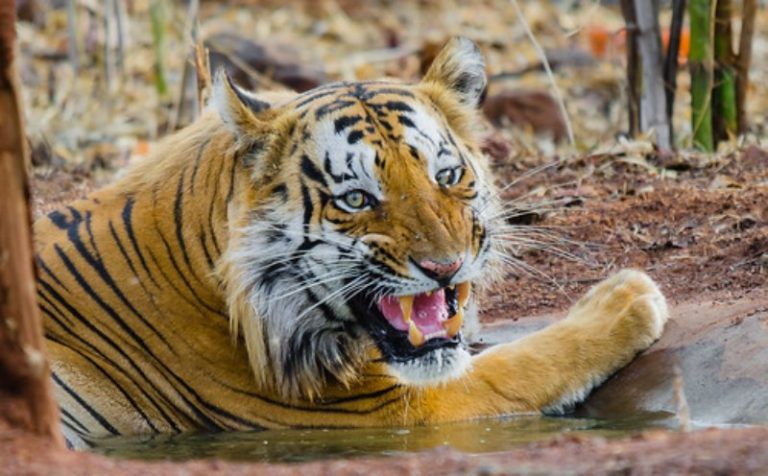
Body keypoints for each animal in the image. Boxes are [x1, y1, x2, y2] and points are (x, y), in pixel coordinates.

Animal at [35, 37, 669, 448]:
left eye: (446, 176)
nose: (446, 267)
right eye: (358, 199)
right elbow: (525, 362)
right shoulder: (395, 405)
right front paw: (627, 299)